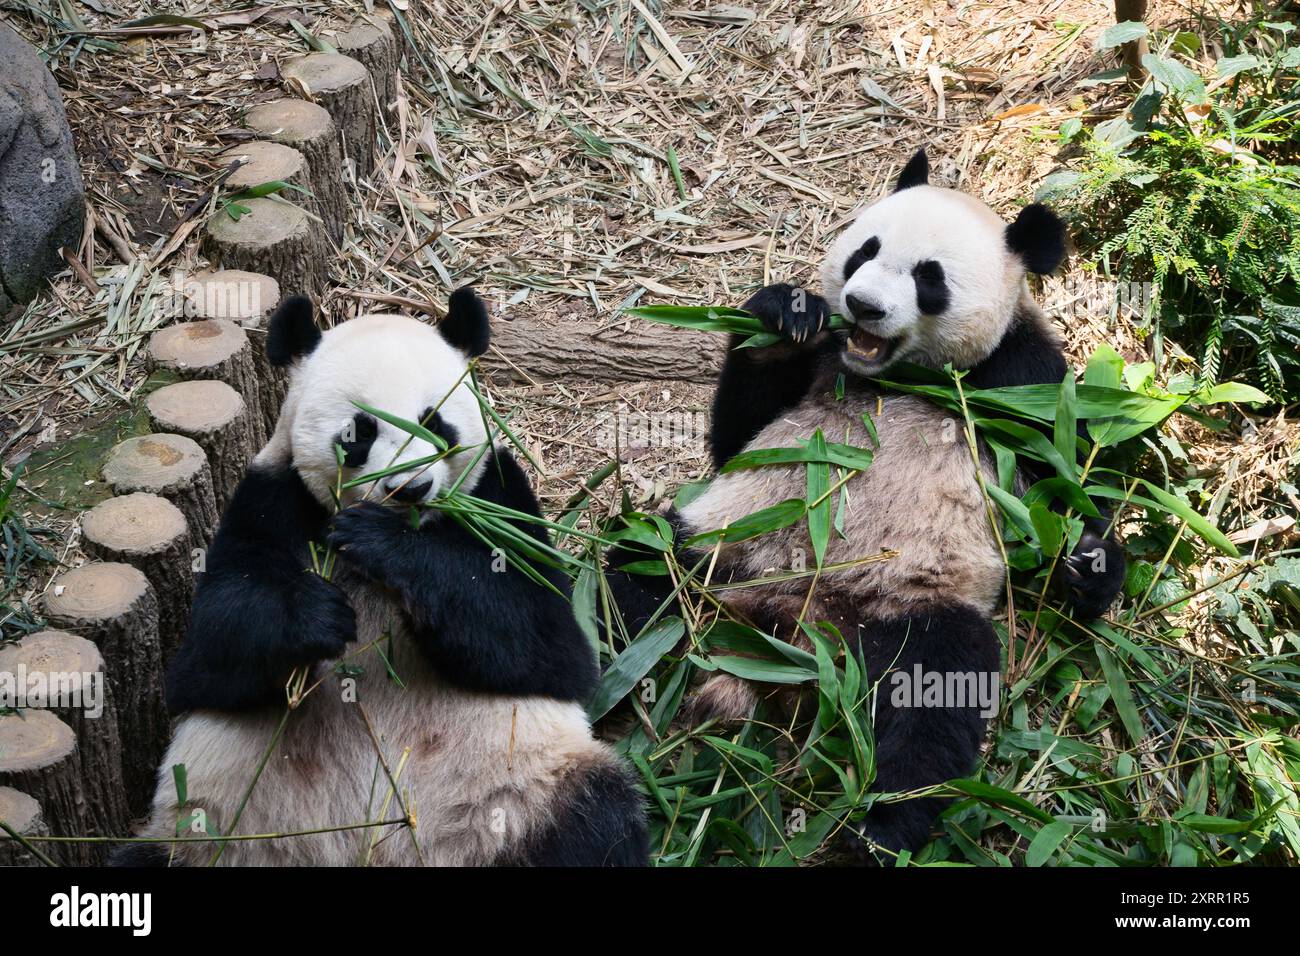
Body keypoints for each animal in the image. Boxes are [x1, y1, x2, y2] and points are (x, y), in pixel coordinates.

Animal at [116, 288, 648, 866]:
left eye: (434, 422)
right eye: (359, 432)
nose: (409, 489)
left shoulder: (500, 495)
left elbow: (545, 644)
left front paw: (383, 545)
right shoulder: (269, 497)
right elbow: (209, 655)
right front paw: (316, 616)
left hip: (519, 795)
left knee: (597, 822)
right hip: (217, 831)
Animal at [607, 149, 1124, 861]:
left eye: (930, 278)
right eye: (865, 251)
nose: (863, 304)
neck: (897, 374)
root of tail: (787, 630)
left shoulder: (1019, 382)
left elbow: (1064, 474)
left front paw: (1089, 566)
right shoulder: (824, 362)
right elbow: (739, 435)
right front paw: (784, 313)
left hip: (907, 609)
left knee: (933, 703)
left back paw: (876, 830)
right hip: (712, 551)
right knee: (623, 585)